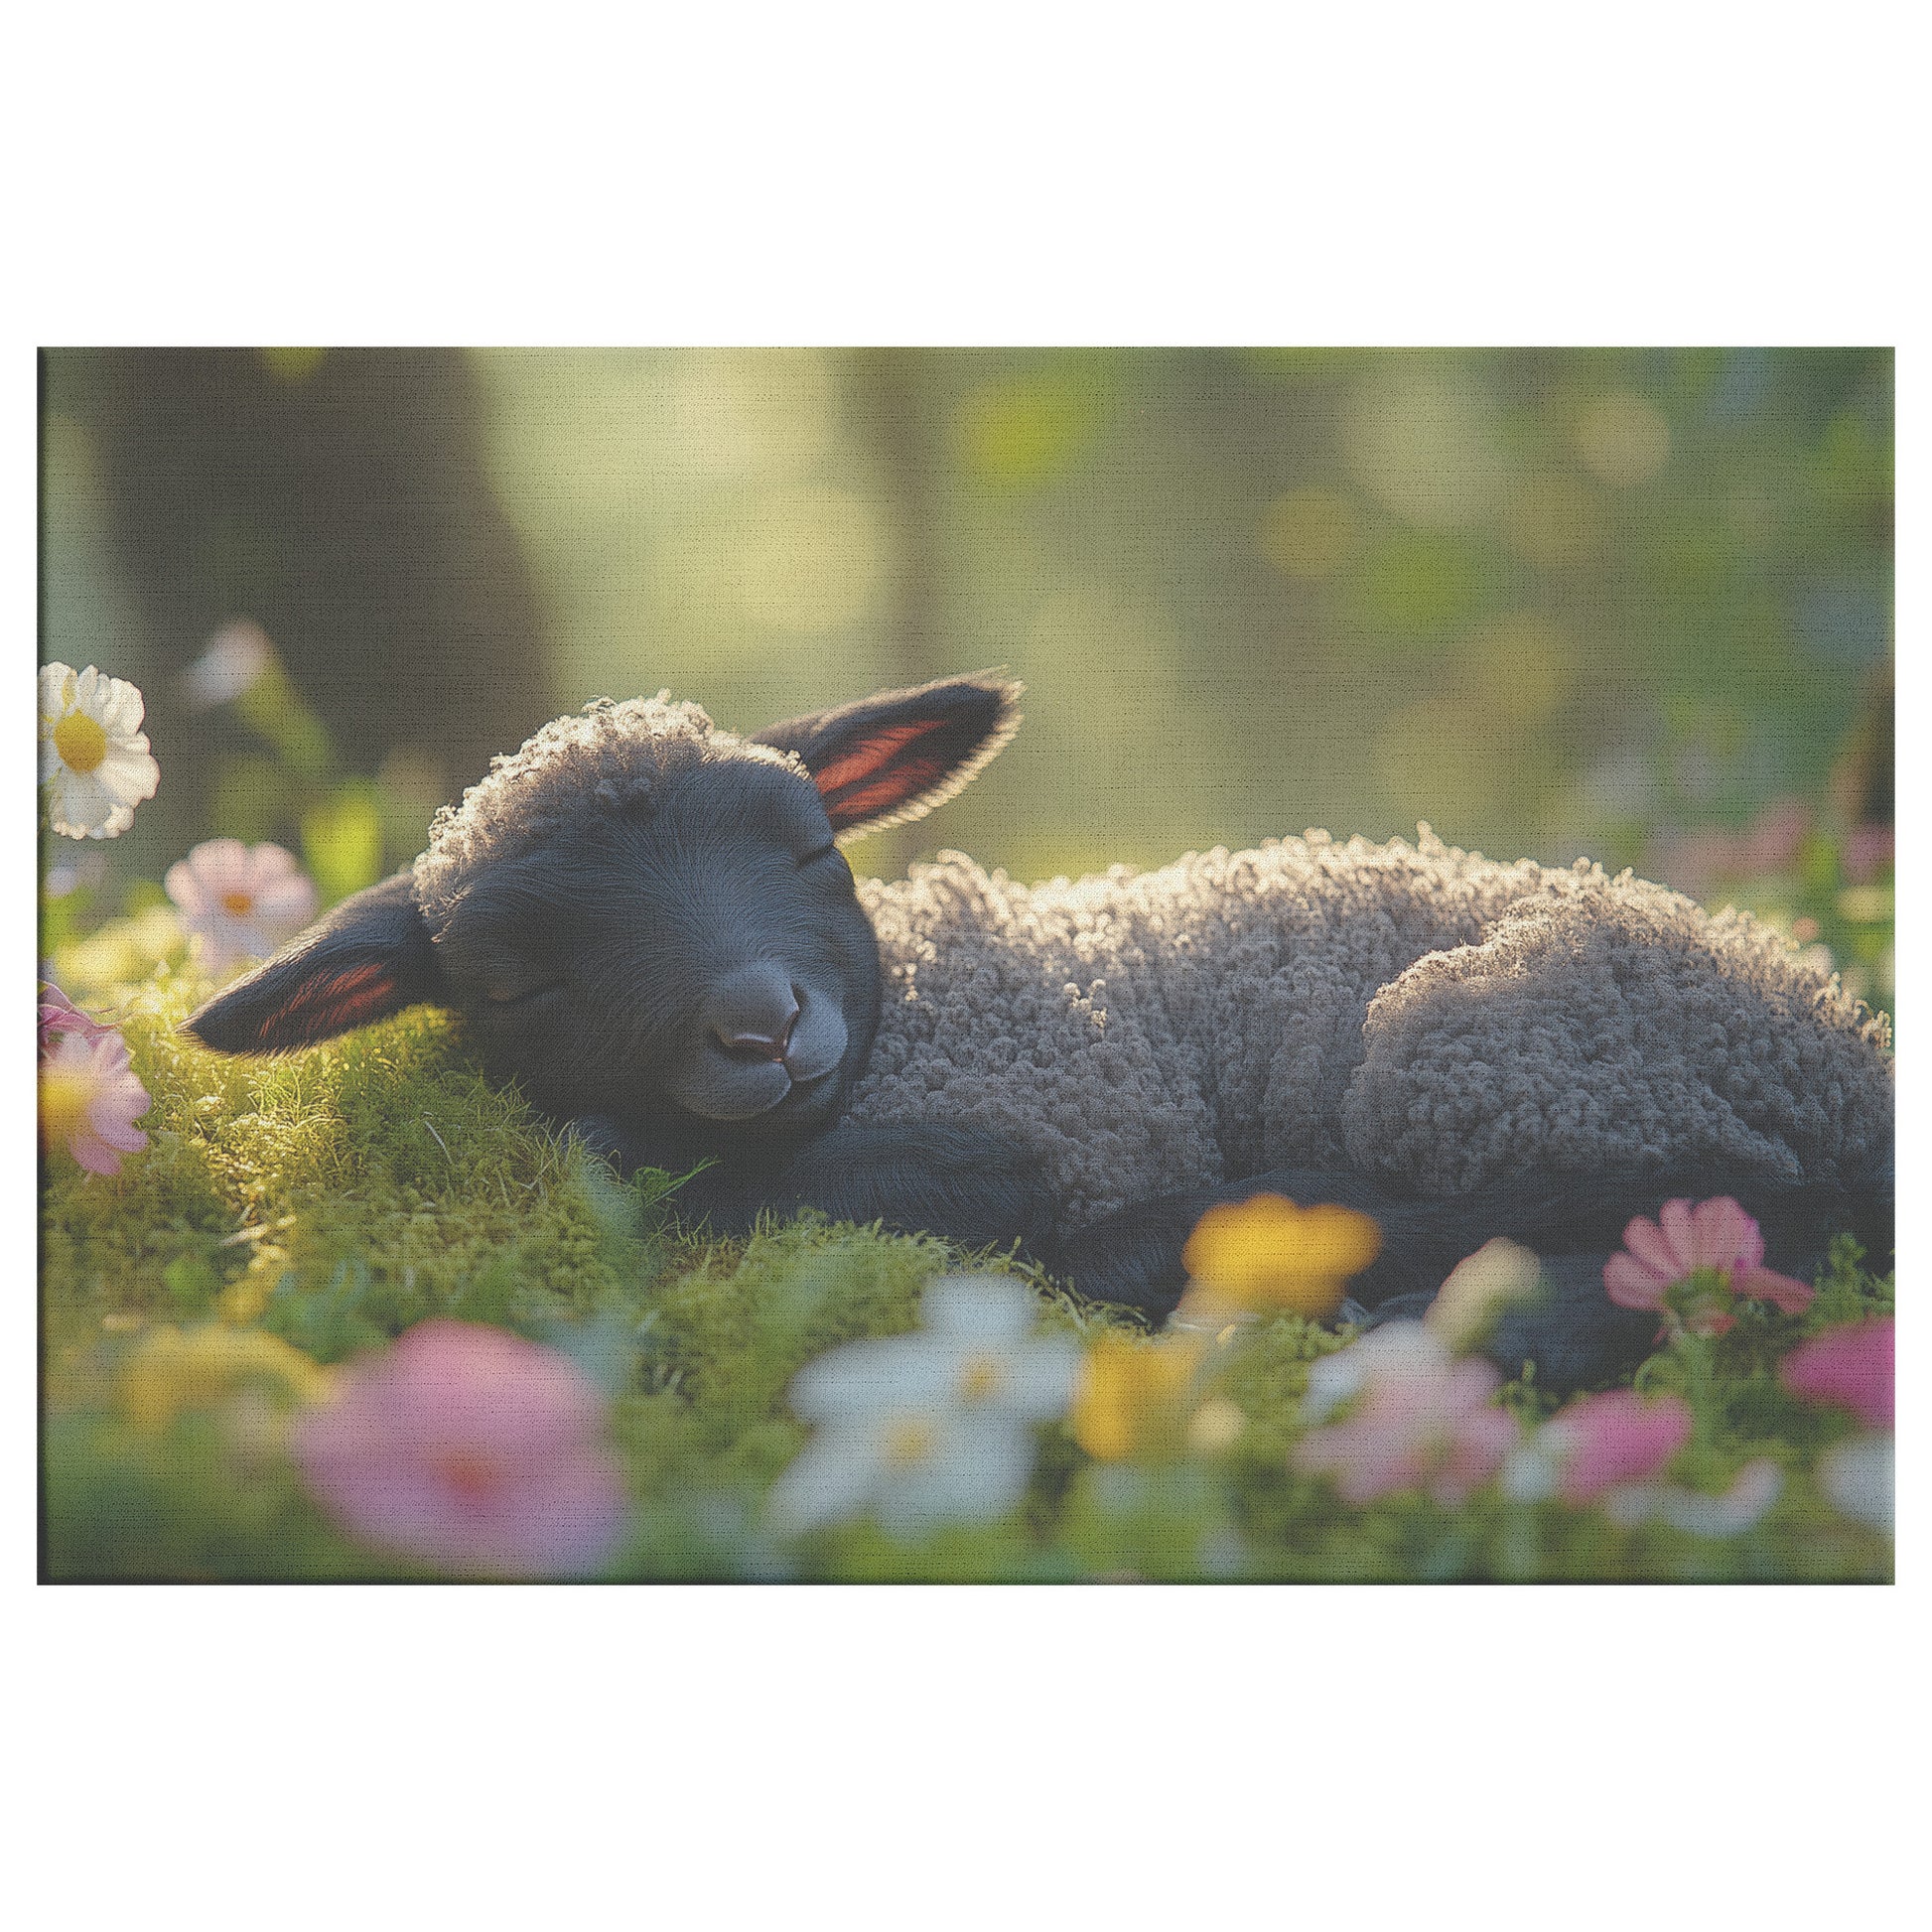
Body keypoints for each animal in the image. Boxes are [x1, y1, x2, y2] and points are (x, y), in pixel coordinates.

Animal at [185, 673, 1894, 1389]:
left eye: (809, 847)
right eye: (523, 983)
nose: (762, 1025)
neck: (923, 1015)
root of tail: (1843, 1047)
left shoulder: (1053, 1122)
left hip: (1487, 1048)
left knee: (1726, 1216)